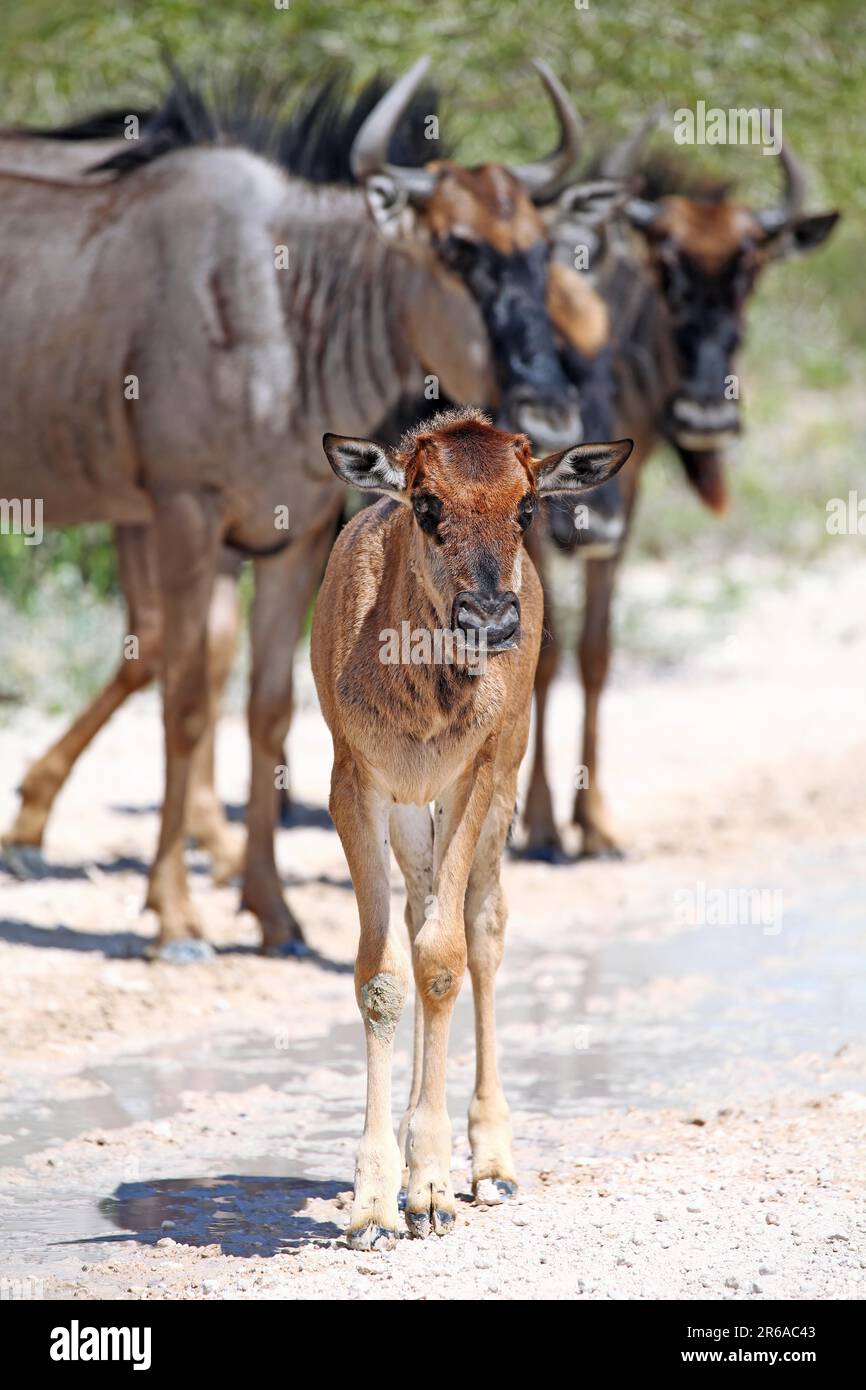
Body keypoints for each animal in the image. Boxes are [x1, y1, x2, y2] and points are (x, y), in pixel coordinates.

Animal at [0, 61, 622, 952]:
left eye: (540, 252)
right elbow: (187, 699)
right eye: (456, 247)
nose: (553, 410)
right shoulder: (184, 514)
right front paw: (174, 913)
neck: (281, 300)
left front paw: (272, 909)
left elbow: (263, 706)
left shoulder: (286, 537)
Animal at [311, 408, 632, 1246]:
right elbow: (383, 971)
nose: (490, 619)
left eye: (527, 507)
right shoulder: (358, 784)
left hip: (504, 782)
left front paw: (429, 1190)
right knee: (424, 915)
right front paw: (372, 1205)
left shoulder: (474, 777)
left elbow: (447, 956)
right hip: (412, 814)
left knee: (482, 927)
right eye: (426, 503)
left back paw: (491, 1164)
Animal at [522, 114, 840, 858]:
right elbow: (545, 653)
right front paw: (543, 822)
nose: (706, 415)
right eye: (665, 267)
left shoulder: (626, 493)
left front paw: (595, 821)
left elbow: (596, 651)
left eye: (750, 266)